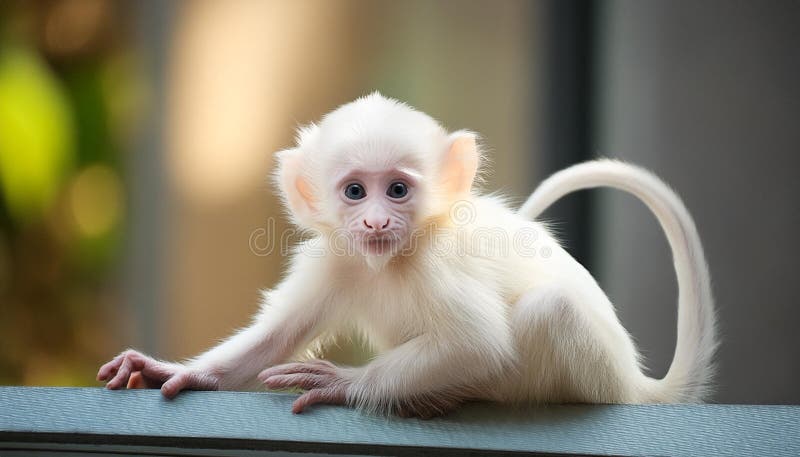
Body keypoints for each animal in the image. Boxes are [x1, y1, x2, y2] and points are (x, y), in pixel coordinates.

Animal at [98, 92, 717, 418]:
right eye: (355, 192)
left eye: (396, 190)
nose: (376, 221)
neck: (390, 260)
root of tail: (631, 384)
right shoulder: (334, 259)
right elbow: (273, 338)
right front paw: (174, 372)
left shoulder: (437, 261)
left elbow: (477, 345)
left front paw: (346, 384)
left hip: (591, 374)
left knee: (550, 310)